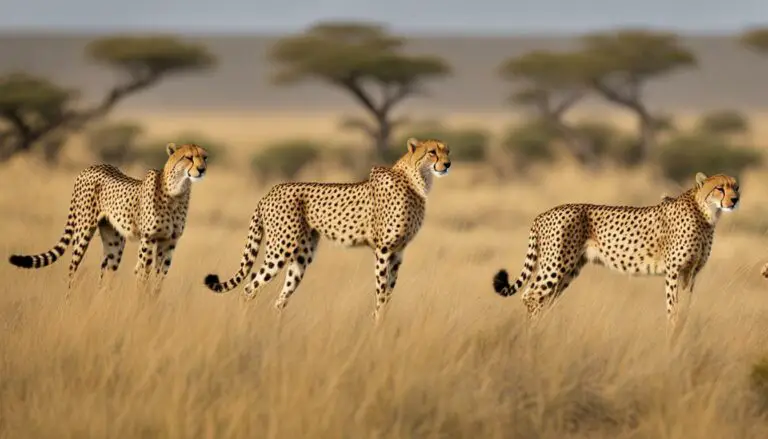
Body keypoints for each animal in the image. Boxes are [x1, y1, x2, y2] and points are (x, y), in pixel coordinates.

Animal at [8, 142, 209, 291]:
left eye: (204, 157)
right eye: (188, 157)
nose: (202, 169)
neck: (178, 191)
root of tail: (91, 167)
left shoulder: (170, 241)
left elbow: (159, 277)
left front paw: (152, 305)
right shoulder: (149, 238)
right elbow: (143, 273)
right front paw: (140, 306)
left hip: (114, 240)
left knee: (106, 270)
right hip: (83, 231)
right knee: (72, 268)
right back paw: (69, 301)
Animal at [203, 137, 451, 321]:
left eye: (447, 151)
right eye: (432, 152)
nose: (448, 164)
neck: (416, 181)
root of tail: (270, 192)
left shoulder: (398, 252)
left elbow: (389, 291)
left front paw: (384, 321)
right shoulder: (384, 250)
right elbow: (381, 291)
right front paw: (377, 323)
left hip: (301, 257)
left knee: (280, 298)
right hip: (279, 250)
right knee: (250, 286)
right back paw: (245, 323)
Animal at [491, 172, 740, 329]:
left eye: (735, 187)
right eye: (719, 188)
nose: (735, 200)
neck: (705, 213)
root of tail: (542, 214)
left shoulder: (691, 272)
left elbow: (686, 304)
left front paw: (683, 327)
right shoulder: (674, 271)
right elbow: (672, 305)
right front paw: (672, 331)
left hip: (569, 269)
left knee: (544, 298)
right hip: (555, 265)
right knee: (531, 295)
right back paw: (534, 332)